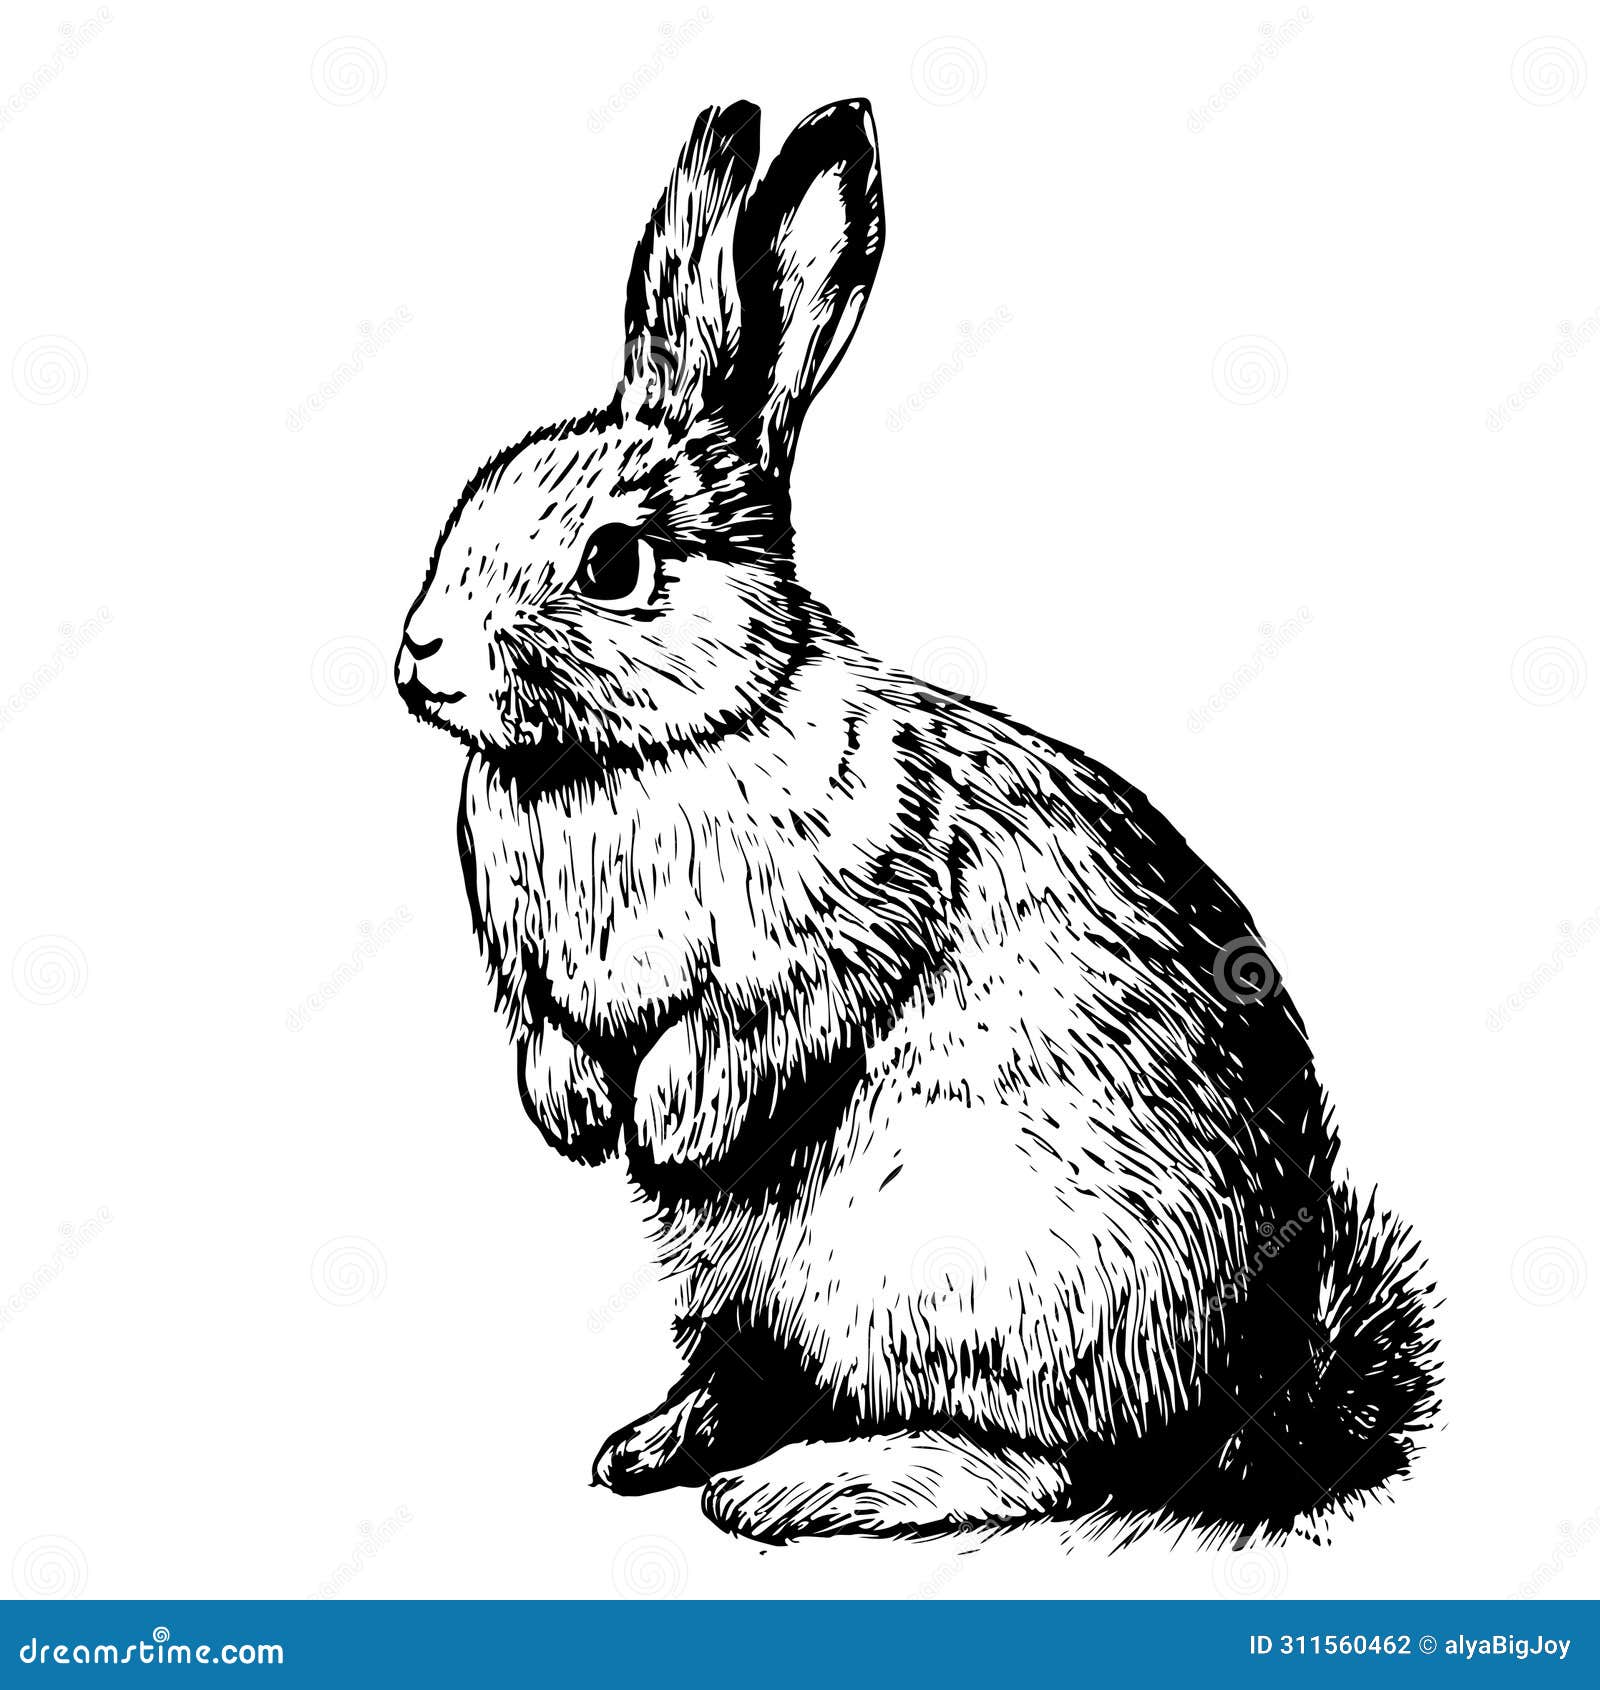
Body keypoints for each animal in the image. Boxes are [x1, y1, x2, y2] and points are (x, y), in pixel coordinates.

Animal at [395, 98, 1438, 1543]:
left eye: (612, 562)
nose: (421, 655)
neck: (657, 740)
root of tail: (1251, 1385)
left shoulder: (823, 941)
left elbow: (747, 1036)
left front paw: (662, 1123)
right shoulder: (530, 984)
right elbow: (544, 1035)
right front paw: (578, 1118)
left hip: (962, 1277)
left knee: (1040, 1464)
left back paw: (794, 1489)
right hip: (737, 1279)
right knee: (749, 1371)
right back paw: (652, 1447)